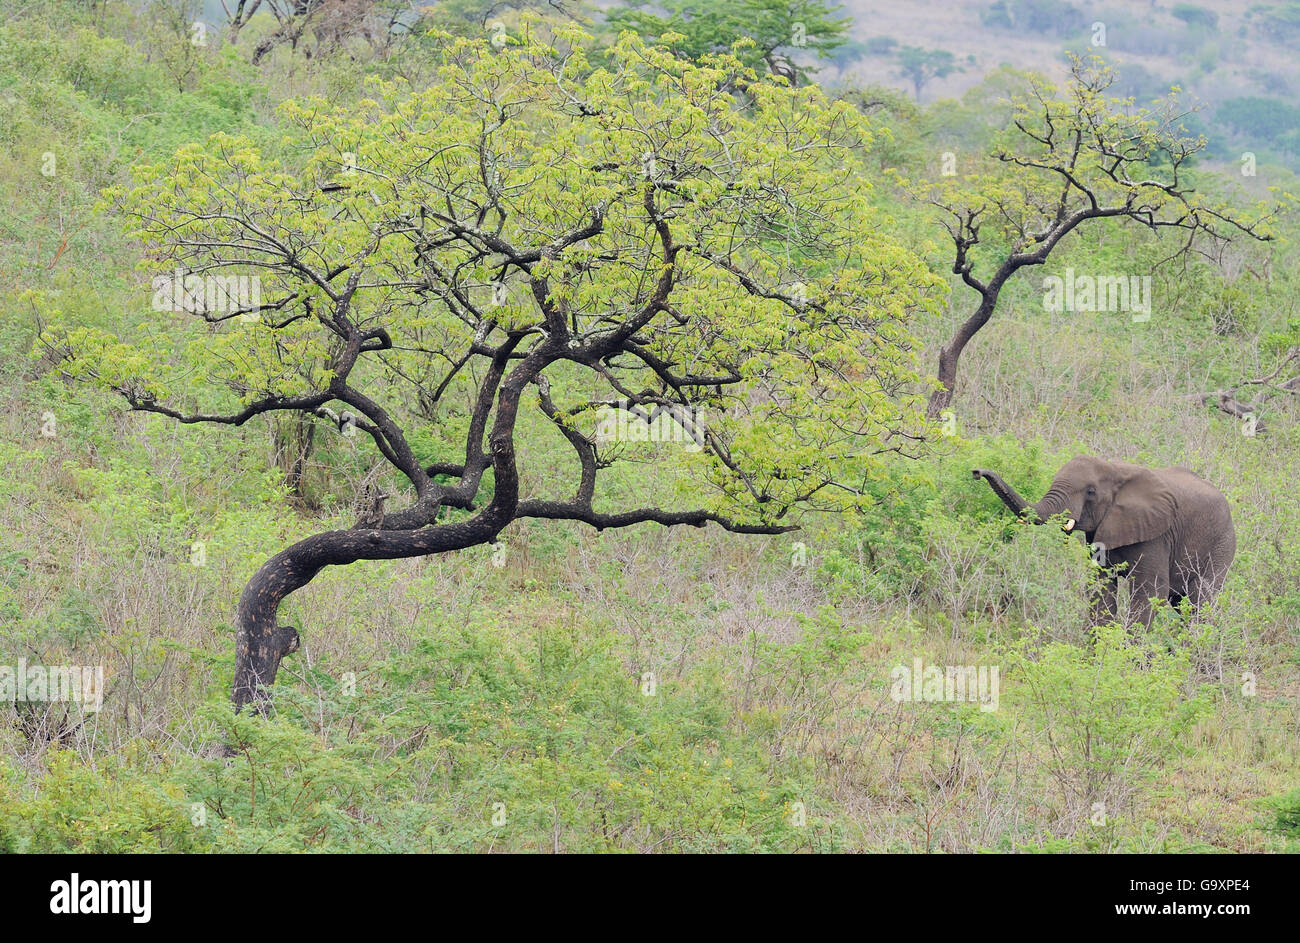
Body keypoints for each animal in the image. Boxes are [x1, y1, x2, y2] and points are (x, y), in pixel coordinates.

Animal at [972, 456, 1235, 628]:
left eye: (1090, 492)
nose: (976, 472)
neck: (1116, 470)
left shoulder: (1158, 534)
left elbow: (1151, 591)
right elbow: (1100, 587)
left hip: (1222, 542)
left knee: (1200, 597)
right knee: (1180, 602)